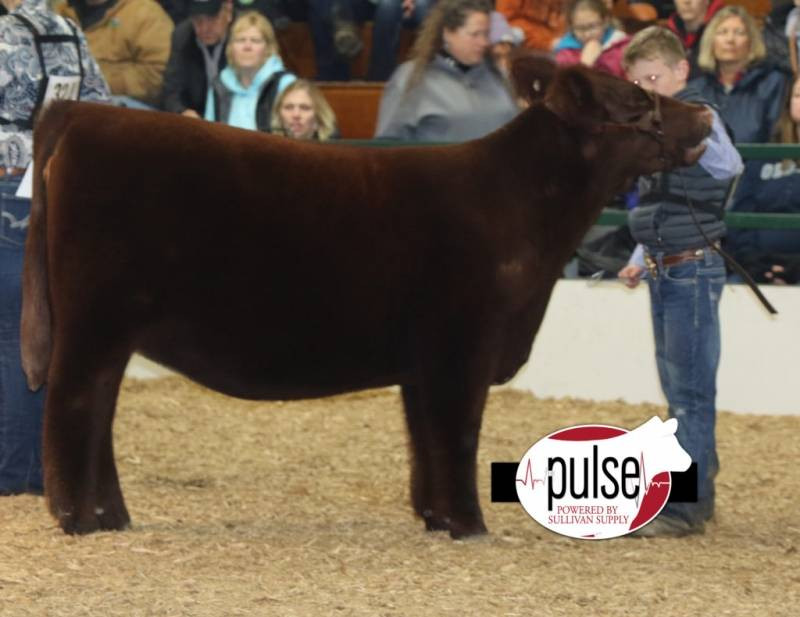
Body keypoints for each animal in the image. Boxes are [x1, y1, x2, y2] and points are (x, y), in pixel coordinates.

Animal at [21, 56, 712, 538]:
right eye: (631, 98)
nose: (705, 112)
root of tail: (81, 116)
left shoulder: (423, 362)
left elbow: (424, 440)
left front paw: (436, 518)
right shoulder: (462, 346)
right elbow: (457, 434)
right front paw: (469, 525)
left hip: (111, 329)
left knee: (97, 410)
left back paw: (111, 514)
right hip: (95, 322)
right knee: (73, 405)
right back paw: (78, 518)